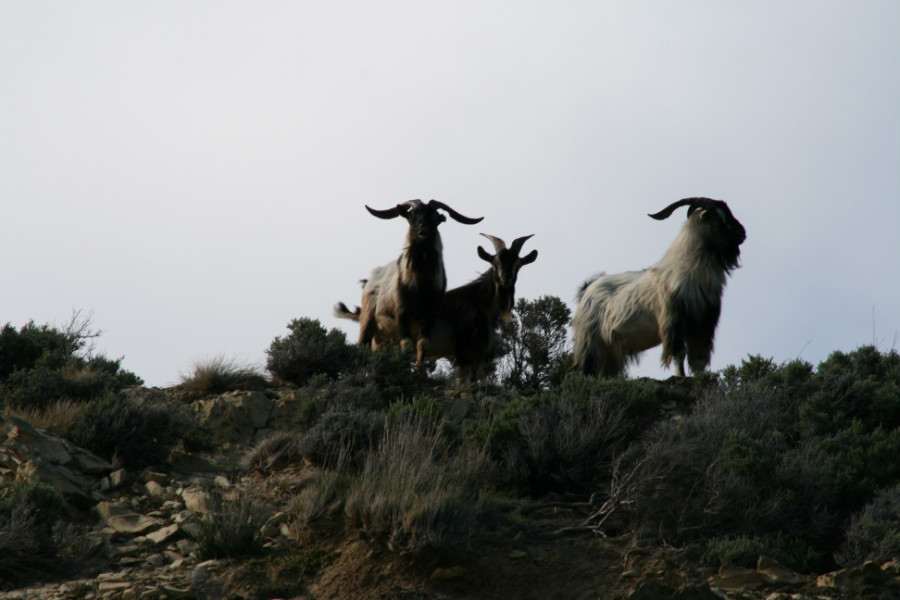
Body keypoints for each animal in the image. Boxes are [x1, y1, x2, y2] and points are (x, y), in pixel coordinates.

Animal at [334, 199, 482, 368]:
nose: (422, 232)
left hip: (381, 338)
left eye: (434, 216)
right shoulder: (402, 313)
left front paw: (418, 370)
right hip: (367, 321)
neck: (421, 285)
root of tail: (369, 281)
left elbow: (422, 343)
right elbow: (407, 344)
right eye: (412, 215)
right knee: (362, 346)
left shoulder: (429, 315)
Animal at [571, 197, 746, 377]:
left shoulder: (703, 325)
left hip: (610, 351)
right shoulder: (674, 322)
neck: (690, 271)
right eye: (718, 216)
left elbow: (699, 359)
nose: (742, 233)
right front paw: (681, 376)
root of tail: (586, 290)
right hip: (589, 343)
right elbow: (679, 353)